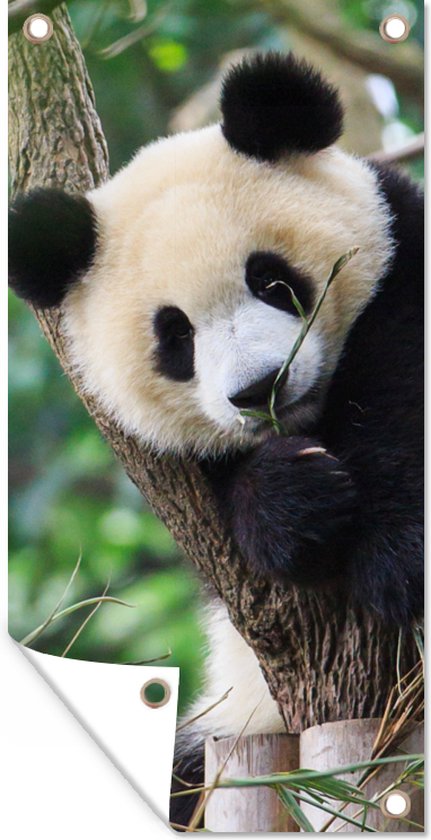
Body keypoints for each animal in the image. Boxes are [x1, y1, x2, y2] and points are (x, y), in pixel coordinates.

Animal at [9, 52, 423, 828]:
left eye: (270, 278)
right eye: (175, 337)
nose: (261, 389)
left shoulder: (407, 264)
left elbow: (403, 387)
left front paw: (396, 561)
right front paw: (292, 500)